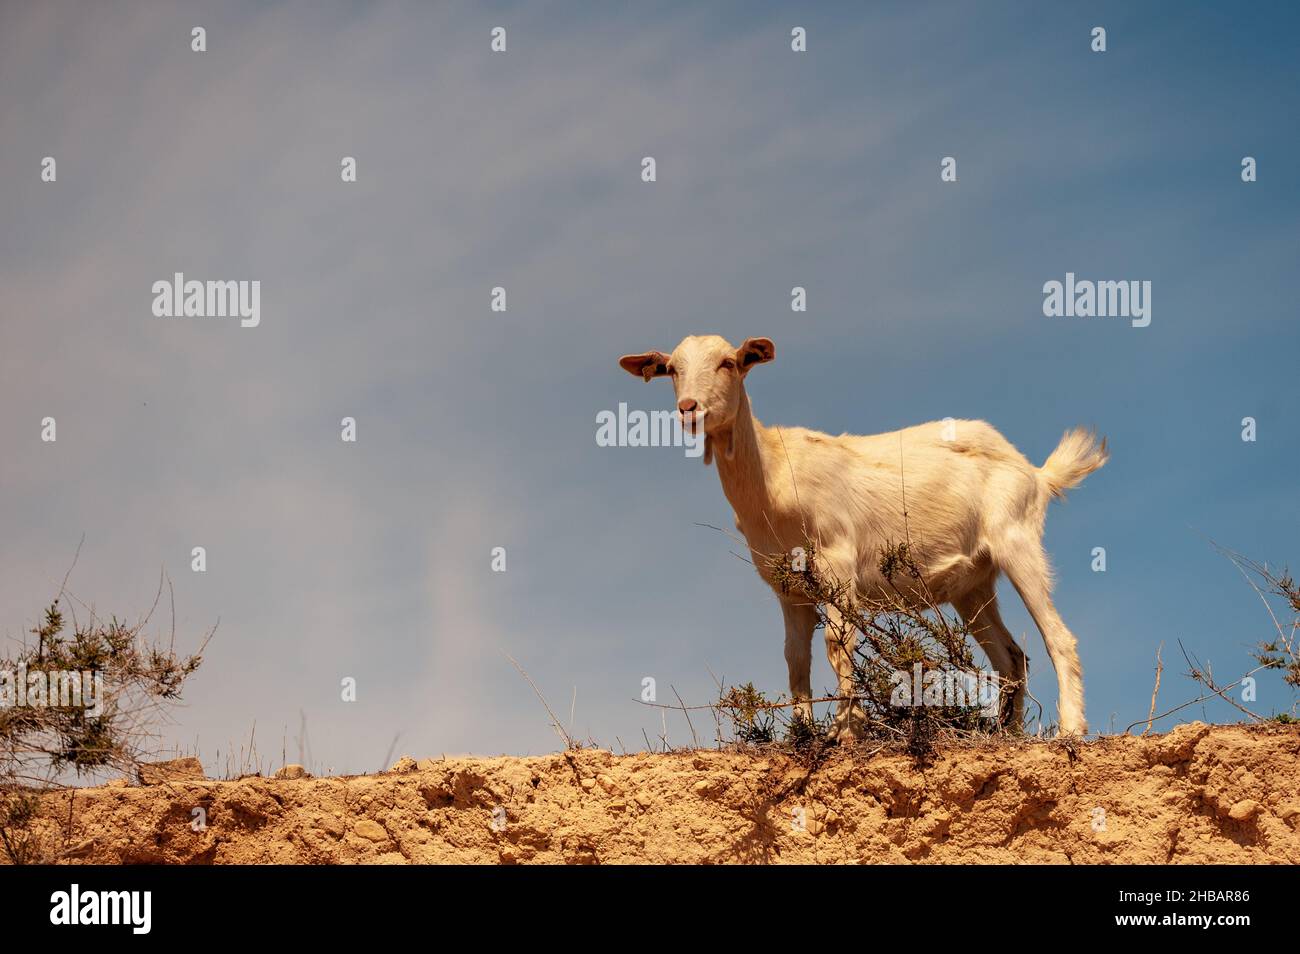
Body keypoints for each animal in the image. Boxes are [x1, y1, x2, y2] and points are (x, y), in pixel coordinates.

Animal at [619, 335, 1107, 740]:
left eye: (728, 362)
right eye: (673, 368)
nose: (689, 408)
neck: (773, 478)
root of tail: (1037, 474)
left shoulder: (838, 563)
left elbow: (838, 645)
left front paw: (847, 730)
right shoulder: (787, 587)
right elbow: (796, 659)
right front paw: (803, 734)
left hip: (1017, 540)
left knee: (1058, 638)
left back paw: (1070, 730)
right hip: (973, 583)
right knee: (1010, 656)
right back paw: (1009, 734)